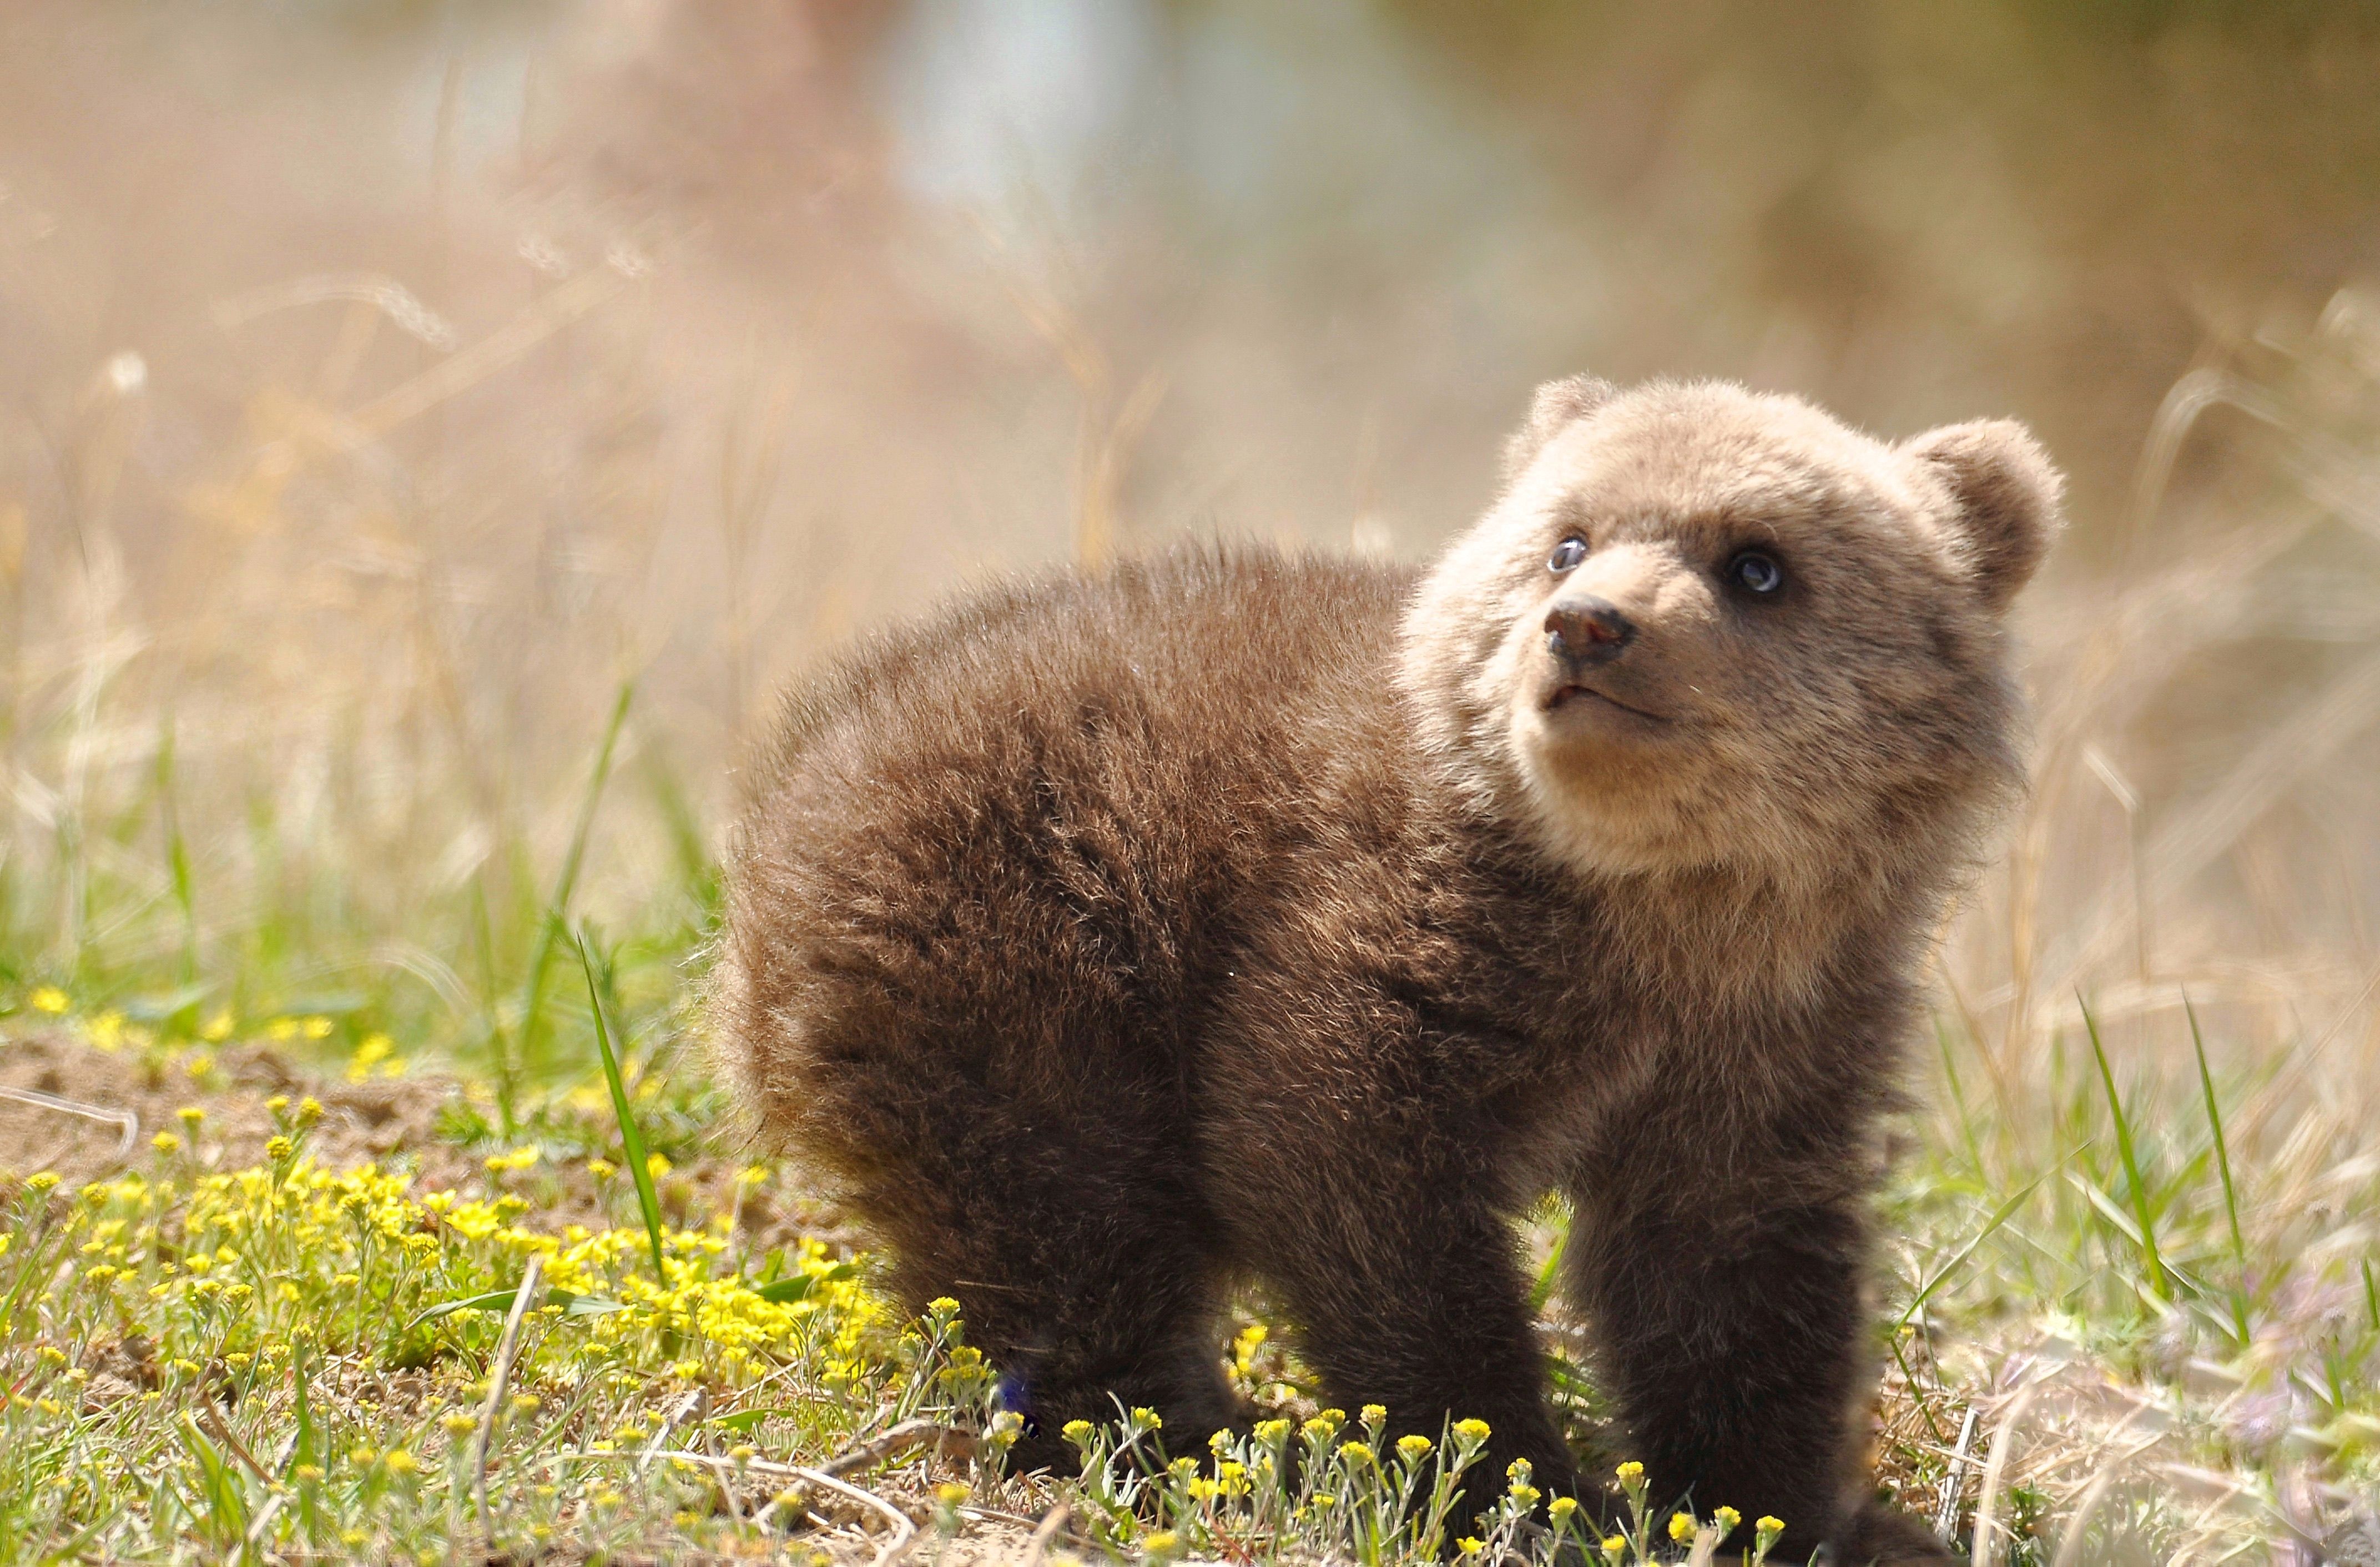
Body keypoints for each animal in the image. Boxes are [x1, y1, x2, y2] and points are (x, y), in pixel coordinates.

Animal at [712, 375, 2061, 1563]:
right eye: (1567, 539)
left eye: (1757, 561)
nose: (1589, 625)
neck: (1654, 907)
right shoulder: (1388, 938)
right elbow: (1349, 1165)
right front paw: (1510, 1475)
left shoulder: (1774, 1032)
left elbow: (1732, 1269)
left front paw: (1771, 1507)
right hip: (1029, 934)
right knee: (1060, 1213)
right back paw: (1183, 1435)